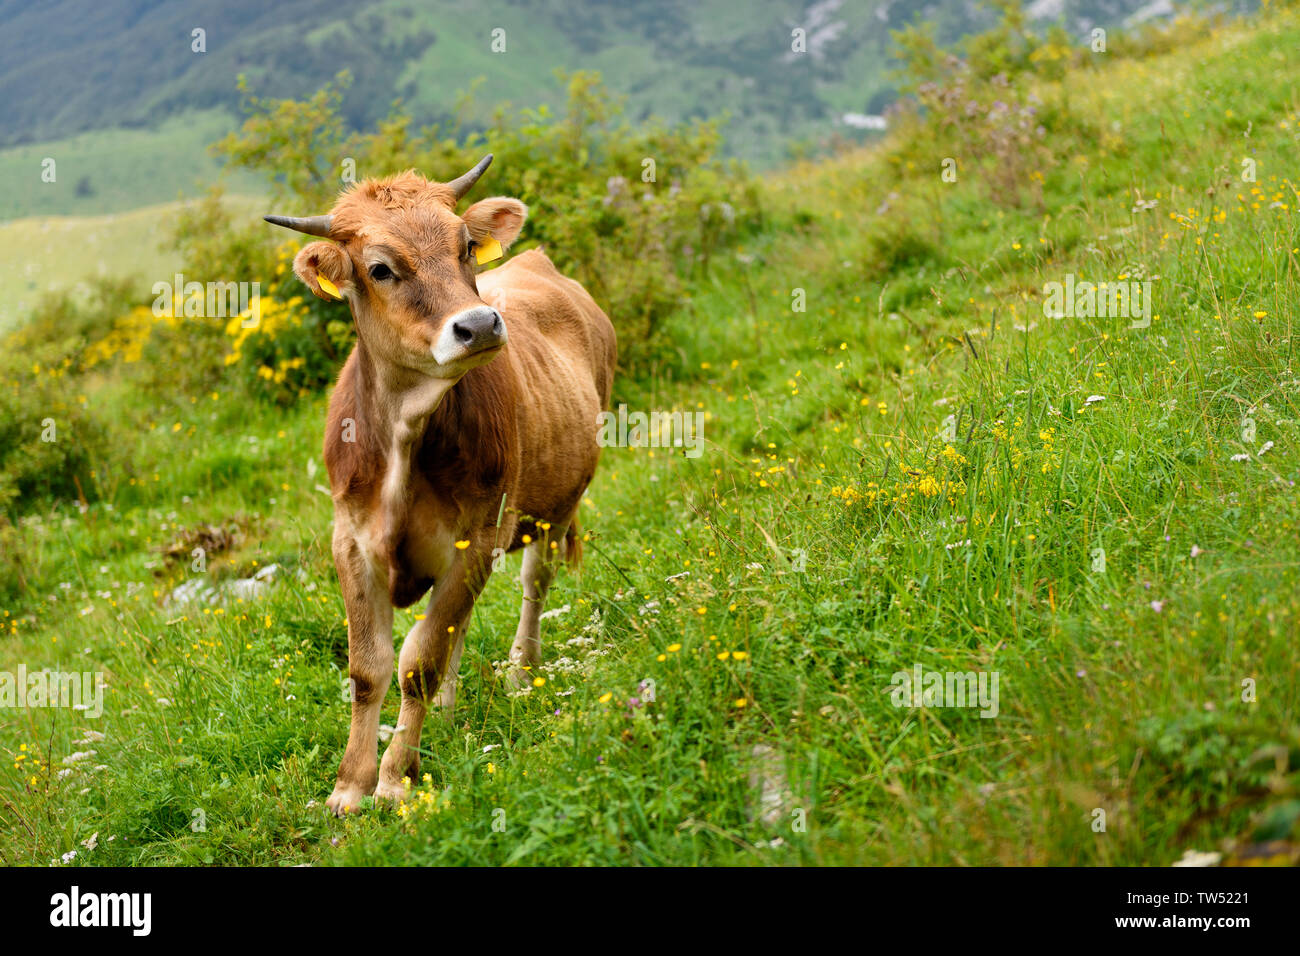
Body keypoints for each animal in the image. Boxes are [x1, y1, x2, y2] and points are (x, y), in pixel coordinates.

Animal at [265, 155, 616, 814]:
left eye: (465, 248)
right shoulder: (351, 543)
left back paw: (520, 673)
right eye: (380, 268)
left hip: (557, 505)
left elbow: (419, 662)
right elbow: (370, 669)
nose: (478, 324)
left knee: (532, 585)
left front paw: (394, 779)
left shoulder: (474, 538)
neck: (405, 435)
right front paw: (348, 786)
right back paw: (451, 710)